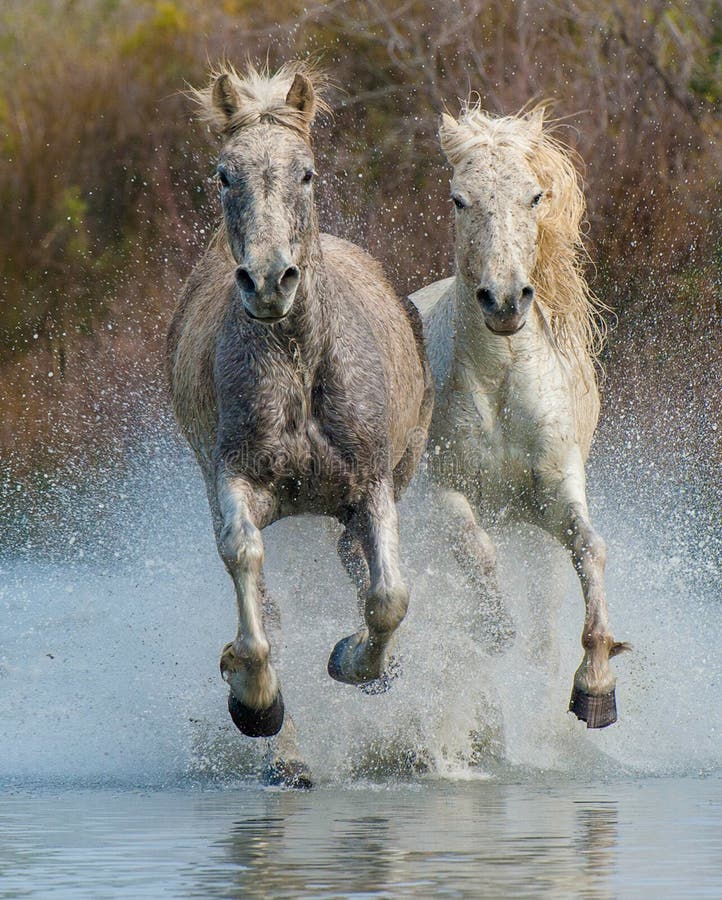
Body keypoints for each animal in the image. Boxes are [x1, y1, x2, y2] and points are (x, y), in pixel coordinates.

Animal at [167, 62, 434, 786]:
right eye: (224, 175)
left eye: (306, 172)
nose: (268, 281)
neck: (298, 364)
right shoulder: (234, 479)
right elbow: (247, 567)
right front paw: (255, 700)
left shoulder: (370, 486)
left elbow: (390, 595)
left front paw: (352, 661)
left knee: (357, 564)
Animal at [411, 103, 628, 729]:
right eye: (458, 198)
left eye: (535, 196)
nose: (505, 301)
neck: (500, 377)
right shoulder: (441, 490)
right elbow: (473, 545)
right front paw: (491, 627)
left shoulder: (554, 491)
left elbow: (590, 548)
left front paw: (595, 687)